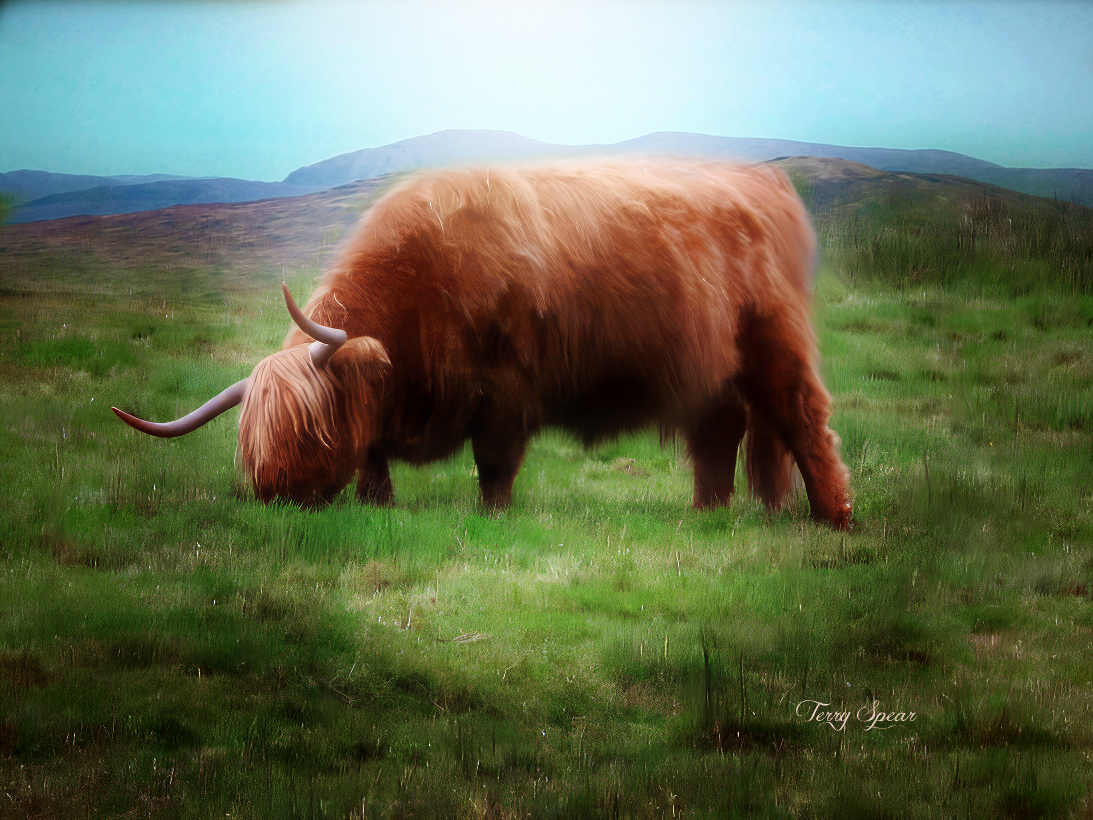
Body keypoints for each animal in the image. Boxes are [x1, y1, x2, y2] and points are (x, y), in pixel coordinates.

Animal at [113, 160, 852, 529]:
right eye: (253, 441)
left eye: (306, 428)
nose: (276, 497)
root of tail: (763, 182)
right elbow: (372, 455)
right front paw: (377, 502)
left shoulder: (504, 391)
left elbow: (494, 462)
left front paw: (493, 516)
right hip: (706, 371)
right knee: (719, 431)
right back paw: (706, 514)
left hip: (772, 343)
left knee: (802, 421)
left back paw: (834, 517)